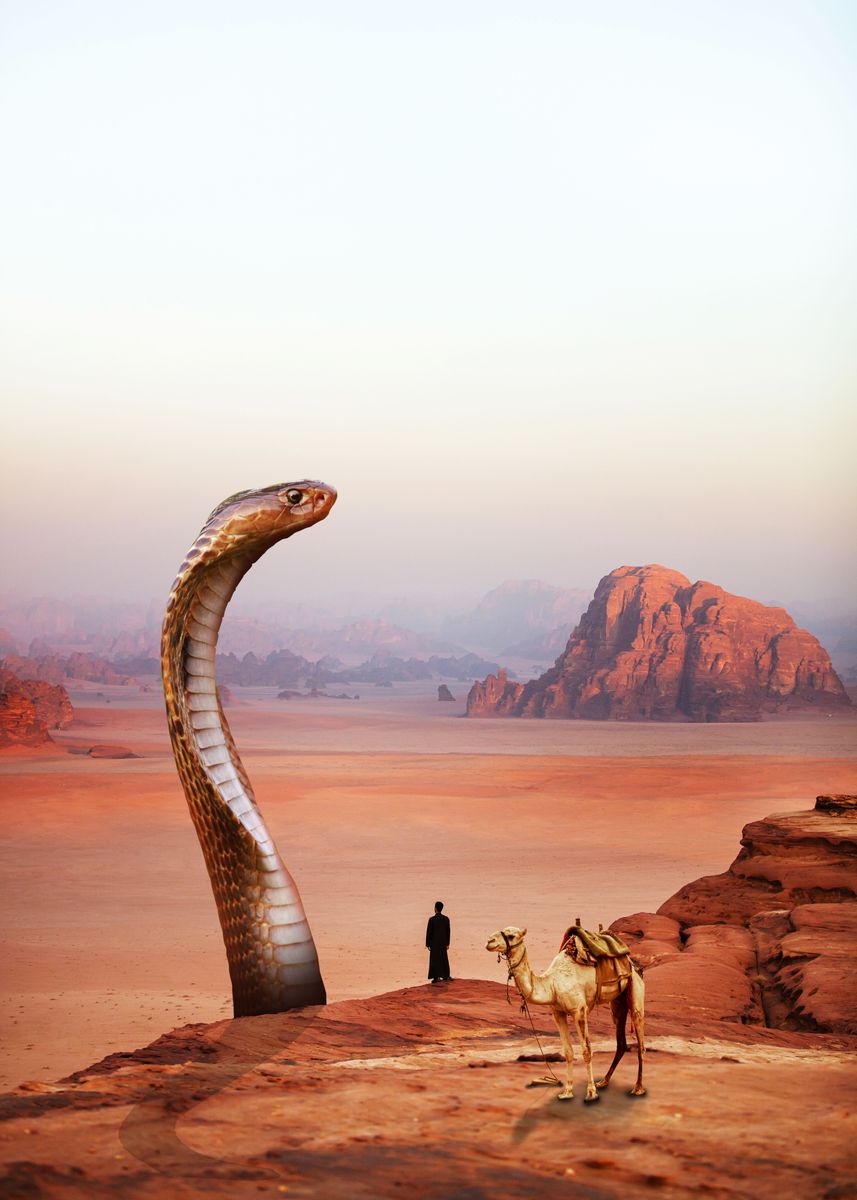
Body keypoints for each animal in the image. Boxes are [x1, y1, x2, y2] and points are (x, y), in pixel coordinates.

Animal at [485, 925, 646, 1103]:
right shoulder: (558, 1013)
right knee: (621, 1040)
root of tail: (633, 964)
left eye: (511, 936)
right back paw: (603, 1081)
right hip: (617, 1002)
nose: (489, 941)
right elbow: (568, 1051)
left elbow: (586, 1050)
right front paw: (567, 1091)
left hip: (635, 990)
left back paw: (638, 1088)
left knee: (640, 1040)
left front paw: (591, 1093)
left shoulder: (579, 1010)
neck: (552, 984)